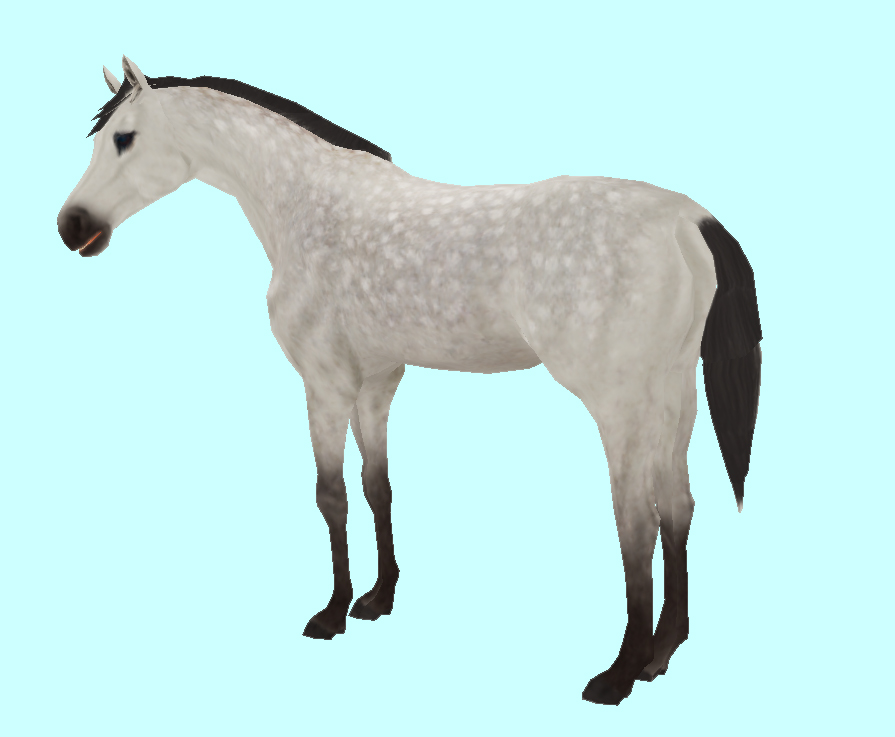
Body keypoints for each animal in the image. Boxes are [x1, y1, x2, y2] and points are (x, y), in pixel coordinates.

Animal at [58, 56, 762, 705]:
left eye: (124, 138)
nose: (72, 226)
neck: (309, 206)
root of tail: (684, 218)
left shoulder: (324, 384)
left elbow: (332, 495)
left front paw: (332, 613)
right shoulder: (375, 382)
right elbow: (378, 488)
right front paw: (377, 599)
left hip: (620, 405)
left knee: (636, 522)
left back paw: (620, 673)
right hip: (671, 395)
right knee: (678, 506)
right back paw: (662, 652)